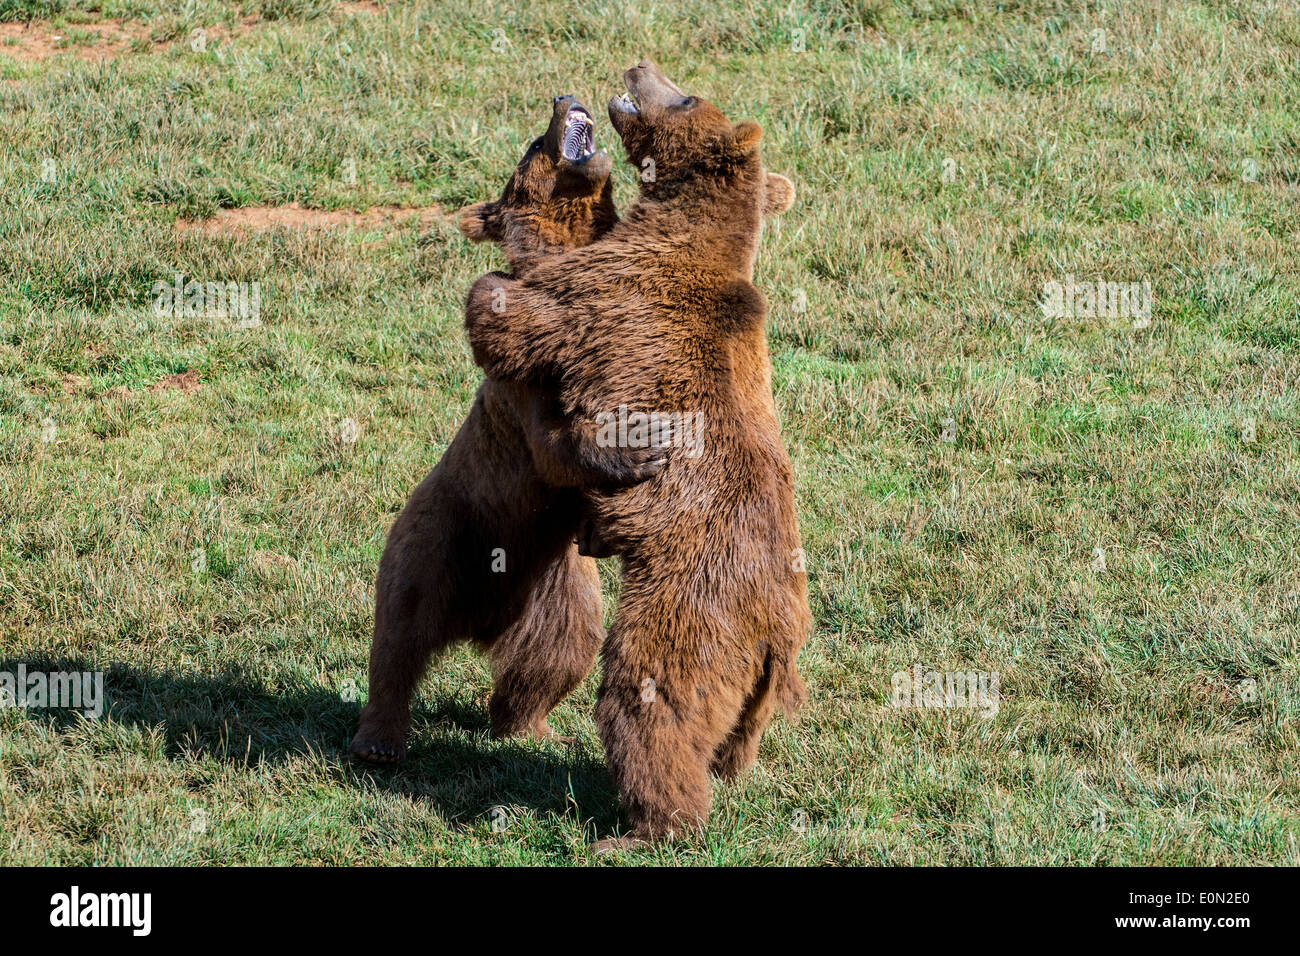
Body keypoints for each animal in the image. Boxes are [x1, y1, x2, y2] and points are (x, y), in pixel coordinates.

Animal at [350, 95, 666, 764]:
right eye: (532, 145)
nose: (565, 99)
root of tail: (480, 621)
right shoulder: (523, 376)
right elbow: (554, 442)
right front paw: (639, 448)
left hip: (557, 584)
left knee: (559, 653)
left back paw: (531, 727)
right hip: (440, 533)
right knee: (399, 634)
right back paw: (379, 739)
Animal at [463, 61, 810, 846]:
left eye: (684, 95)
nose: (638, 68)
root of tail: (776, 629)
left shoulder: (611, 295)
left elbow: (533, 317)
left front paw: (496, 286)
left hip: (687, 611)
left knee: (649, 701)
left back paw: (644, 824)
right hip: (756, 689)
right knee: (733, 738)